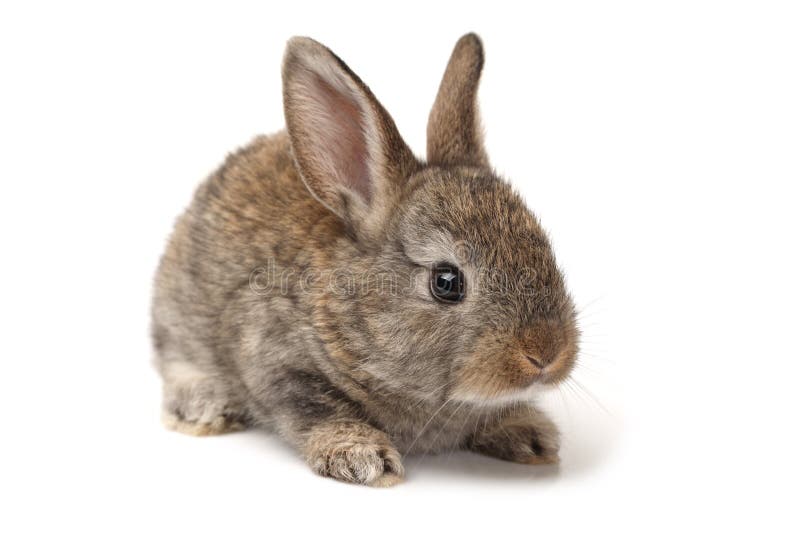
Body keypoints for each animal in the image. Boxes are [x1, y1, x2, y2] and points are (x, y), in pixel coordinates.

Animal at [151, 33, 580, 487]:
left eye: (544, 247)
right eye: (446, 282)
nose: (547, 353)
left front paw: (529, 433)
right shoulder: (273, 358)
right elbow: (316, 409)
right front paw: (361, 456)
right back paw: (203, 406)